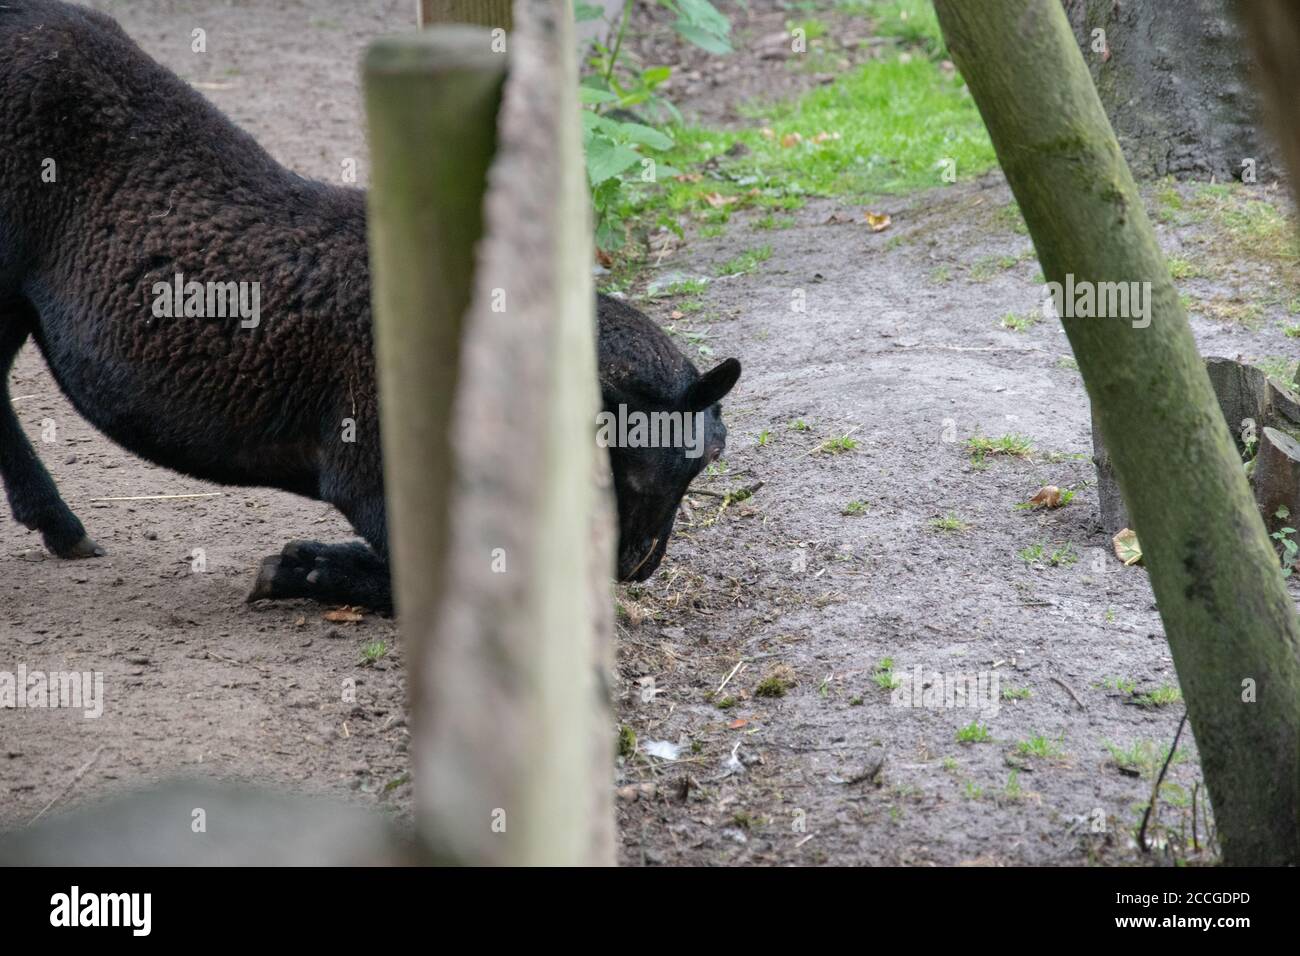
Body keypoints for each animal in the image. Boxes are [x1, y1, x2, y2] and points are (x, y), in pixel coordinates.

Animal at [0, 0, 741, 613]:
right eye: (642, 464)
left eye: (703, 460)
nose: (636, 569)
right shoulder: (376, 471)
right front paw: (296, 569)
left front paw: (303, 566)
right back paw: (62, 525)